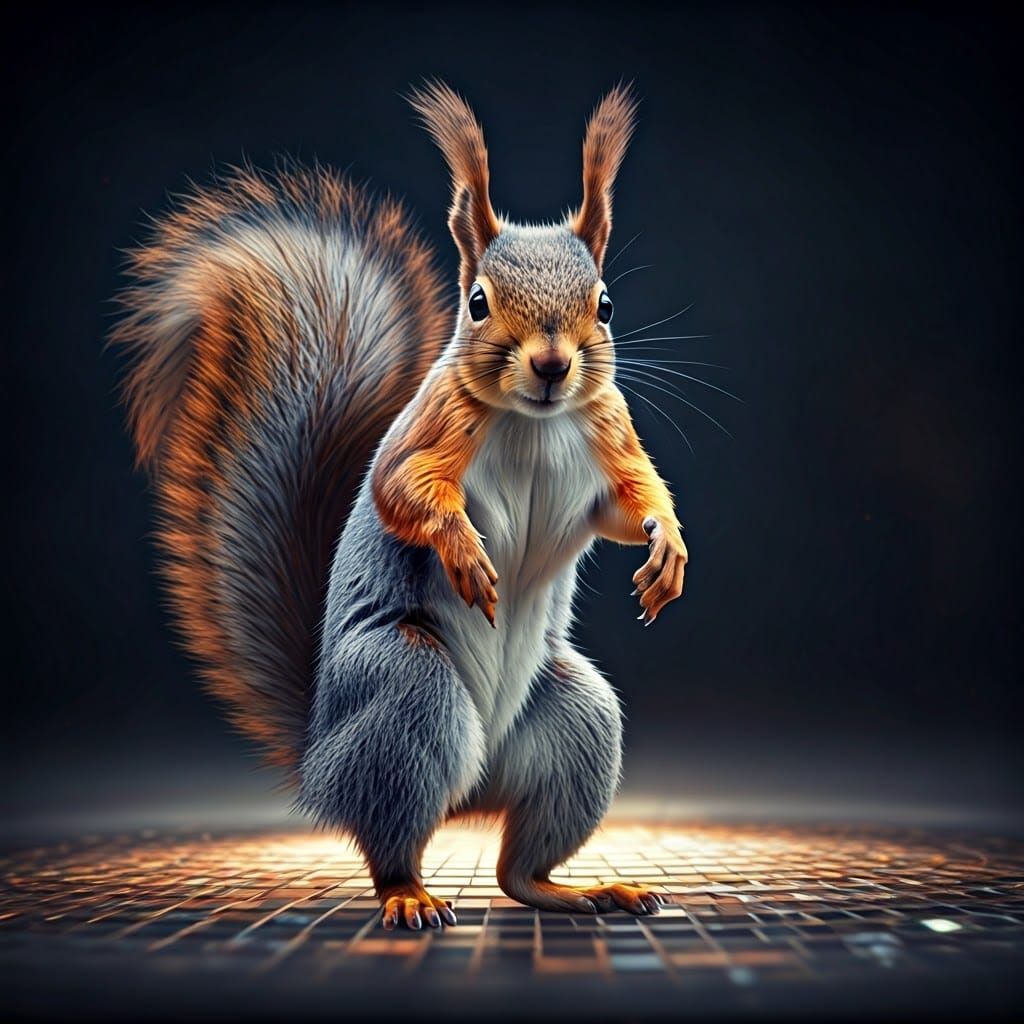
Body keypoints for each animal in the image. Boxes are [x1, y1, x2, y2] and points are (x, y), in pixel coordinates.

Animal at [114, 82, 688, 930]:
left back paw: (585, 890)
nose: (553, 364)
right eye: (477, 302)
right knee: (391, 838)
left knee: (518, 868)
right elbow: (399, 491)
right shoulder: (428, 431)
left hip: (577, 723)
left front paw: (666, 549)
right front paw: (464, 553)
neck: (535, 421)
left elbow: (628, 502)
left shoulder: (605, 433)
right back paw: (410, 895)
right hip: (409, 692)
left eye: (607, 304)